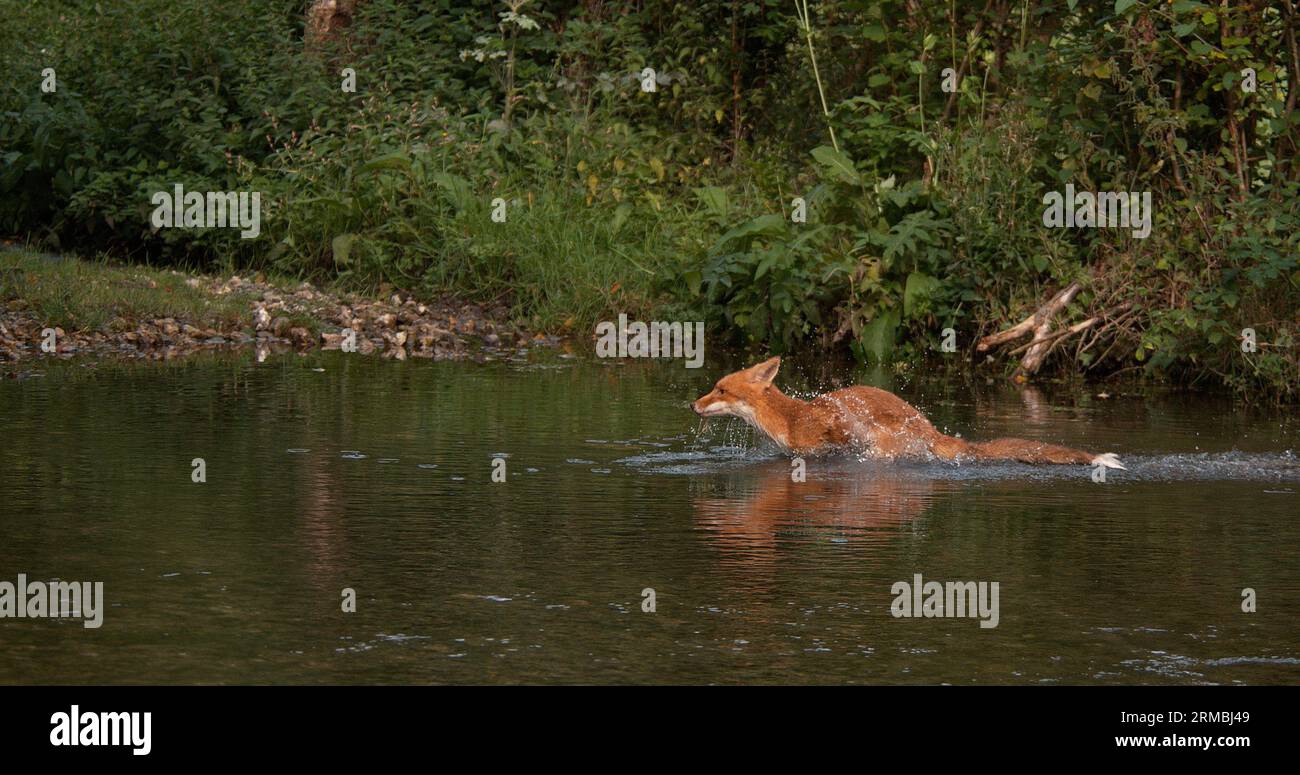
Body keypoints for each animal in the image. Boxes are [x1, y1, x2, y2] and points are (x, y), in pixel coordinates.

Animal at [692, 357, 1125, 469]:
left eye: (721, 389)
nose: (694, 405)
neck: (789, 420)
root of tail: (931, 429)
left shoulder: (834, 427)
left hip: (883, 448)